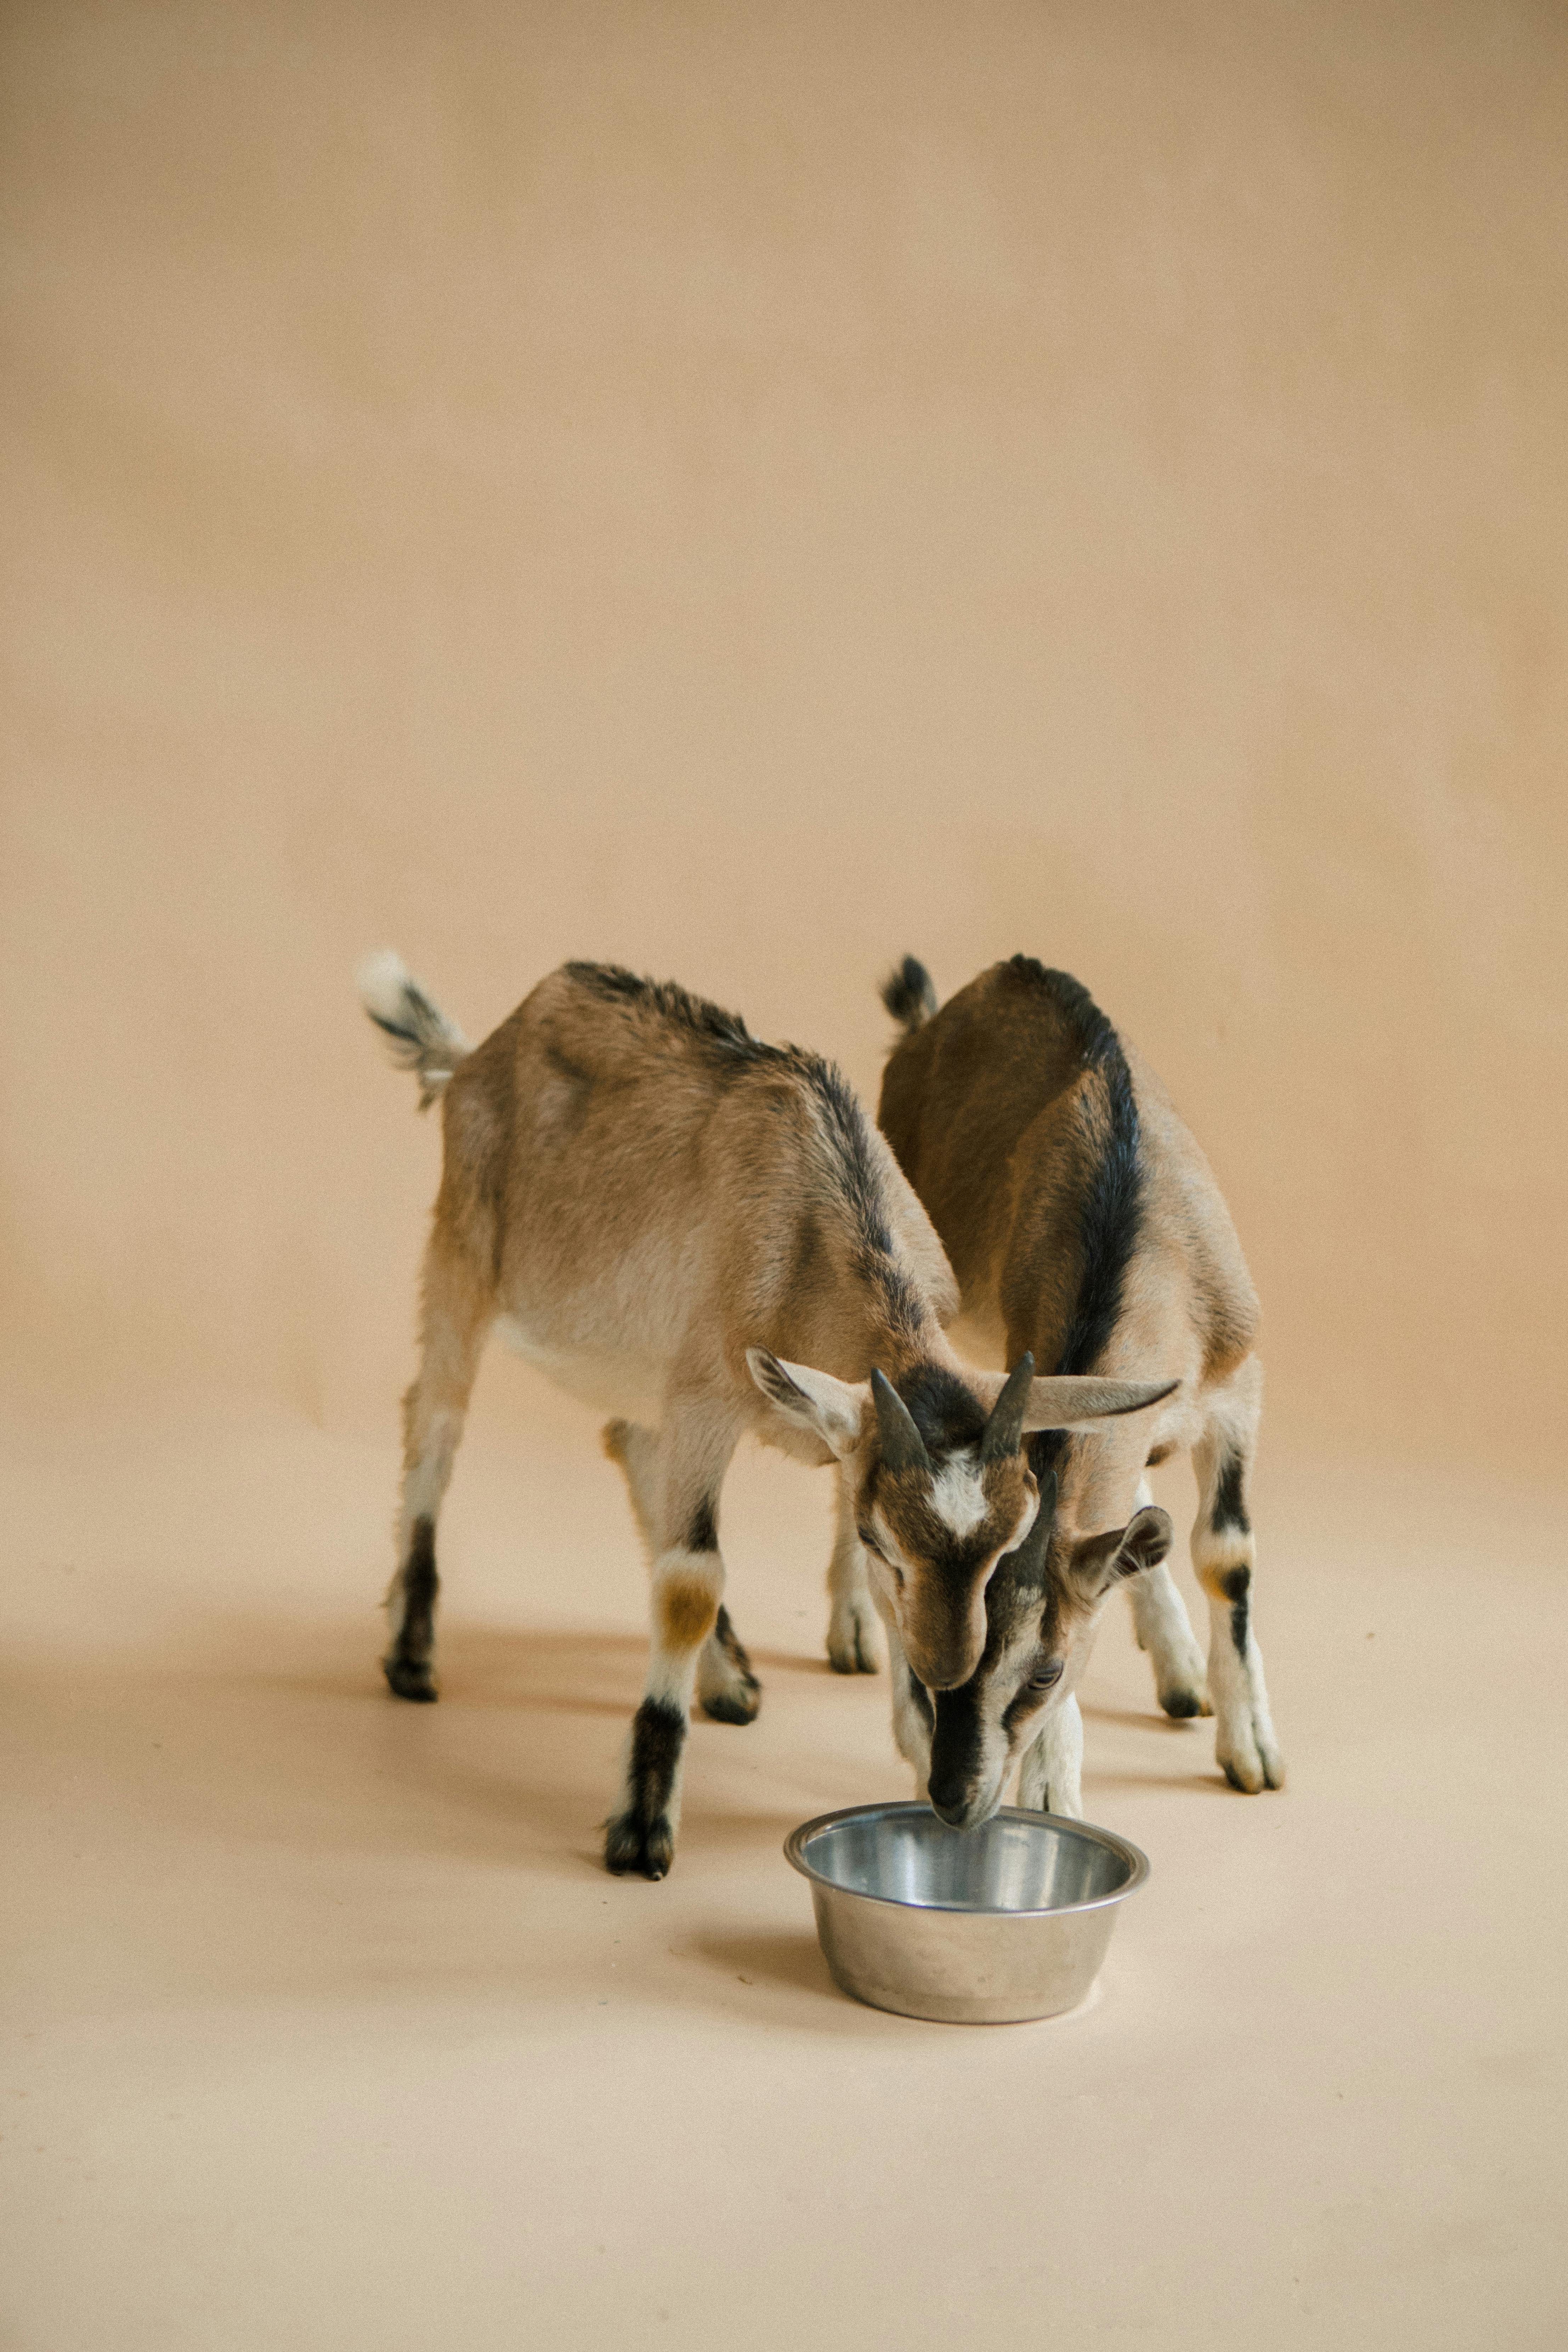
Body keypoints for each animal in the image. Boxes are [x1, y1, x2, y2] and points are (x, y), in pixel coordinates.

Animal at [358, 951, 1174, 1878]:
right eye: (882, 1544)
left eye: (1007, 1551)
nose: (948, 1667)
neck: (808, 1235)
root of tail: (472, 1056)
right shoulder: (705, 1399)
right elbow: (690, 1580)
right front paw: (642, 1825)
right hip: (460, 1254)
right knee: (435, 1422)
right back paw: (412, 1651)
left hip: (637, 1361)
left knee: (626, 1441)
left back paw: (727, 1679)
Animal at [831, 953, 1285, 1826]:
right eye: (930, 1657)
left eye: (1043, 1670)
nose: (953, 1799)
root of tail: (929, 1020)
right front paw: (1050, 1784)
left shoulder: (1237, 1390)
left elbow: (1225, 1554)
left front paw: (1250, 1746)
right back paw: (848, 1628)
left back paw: (1178, 1666)